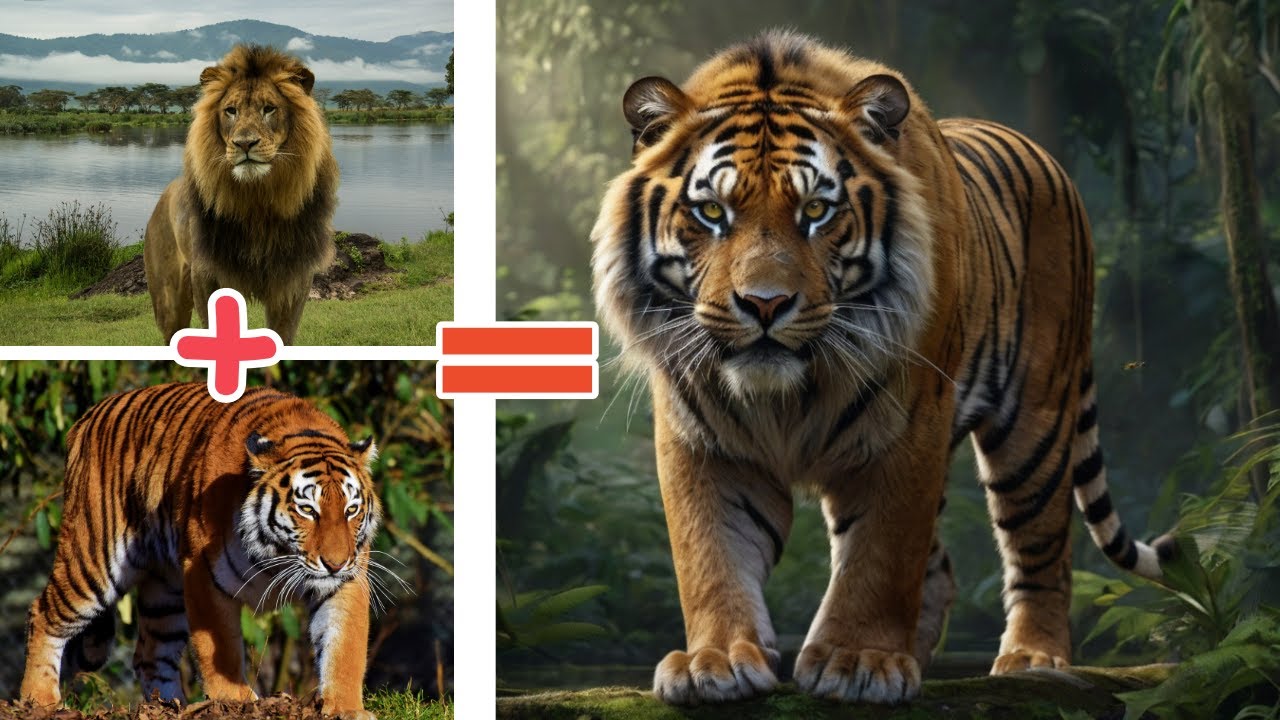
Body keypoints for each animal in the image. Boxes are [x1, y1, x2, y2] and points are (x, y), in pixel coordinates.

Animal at [19, 382, 382, 720]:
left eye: (351, 510)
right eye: (308, 510)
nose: (335, 564)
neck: (278, 555)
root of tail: (87, 417)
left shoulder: (346, 583)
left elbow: (344, 648)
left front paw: (346, 708)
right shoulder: (205, 573)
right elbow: (220, 649)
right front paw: (236, 702)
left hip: (166, 590)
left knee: (150, 654)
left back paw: (172, 707)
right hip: (94, 559)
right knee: (42, 613)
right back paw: (40, 700)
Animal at [144, 44, 338, 345]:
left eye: (269, 109)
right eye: (230, 111)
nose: (244, 143)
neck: (255, 201)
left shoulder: (293, 279)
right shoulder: (206, 274)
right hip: (168, 299)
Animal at [590, 30, 1171, 705]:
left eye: (817, 210)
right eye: (712, 213)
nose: (765, 304)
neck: (784, 395)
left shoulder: (907, 427)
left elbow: (882, 554)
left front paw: (858, 661)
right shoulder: (701, 438)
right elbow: (710, 554)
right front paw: (717, 661)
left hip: (1035, 423)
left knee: (1040, 549)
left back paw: (1033, 659)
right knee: (941, 568)